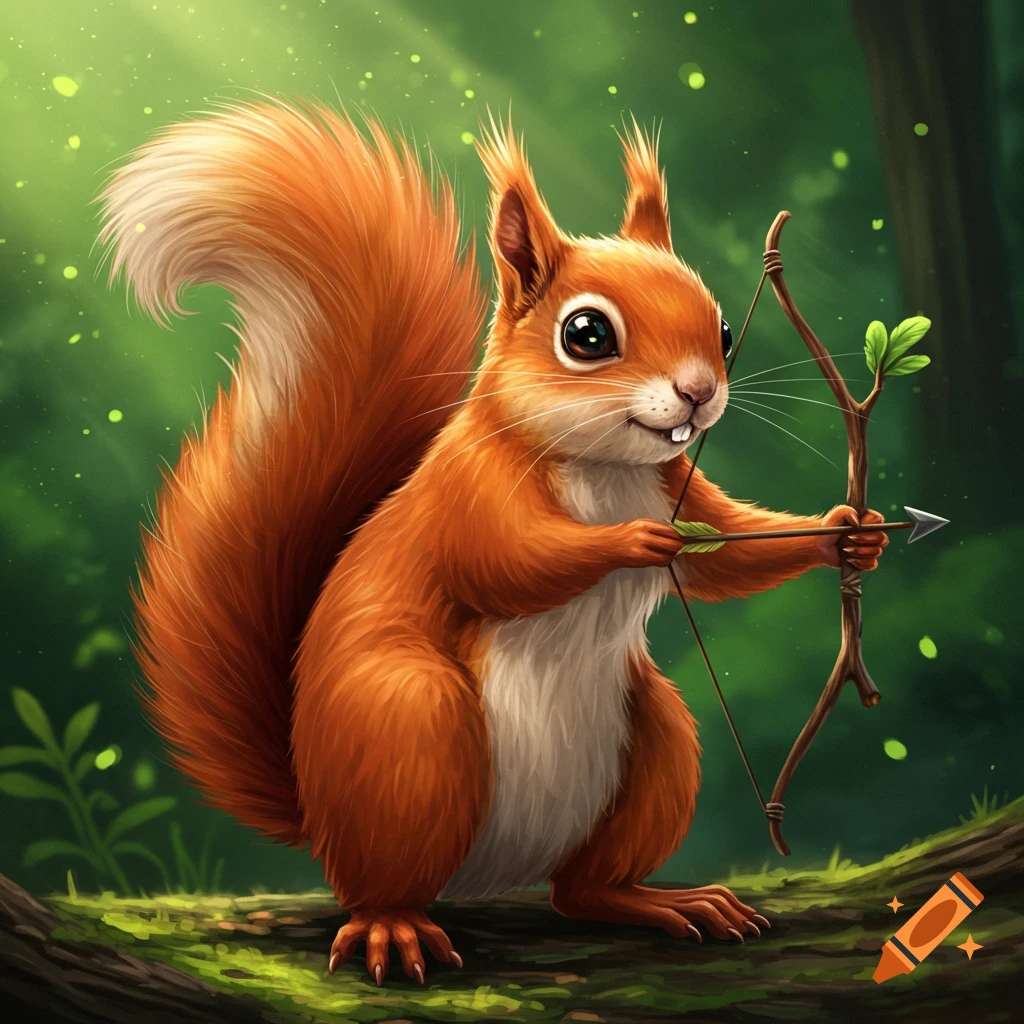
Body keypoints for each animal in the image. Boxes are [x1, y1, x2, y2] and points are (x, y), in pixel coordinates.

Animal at [98, 101, 888, 985]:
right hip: (409, 722)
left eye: (722, 328)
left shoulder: (679, 481)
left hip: (654, 738)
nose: (699, 392)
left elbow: (733, 554)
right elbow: (504, 565)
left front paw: (847, 534)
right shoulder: (469, 494)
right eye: (587, 334)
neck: (605, 467)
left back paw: (660, 902)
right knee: (384, 880)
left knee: (579, 892)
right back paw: (393, 927)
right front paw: (634, 540)